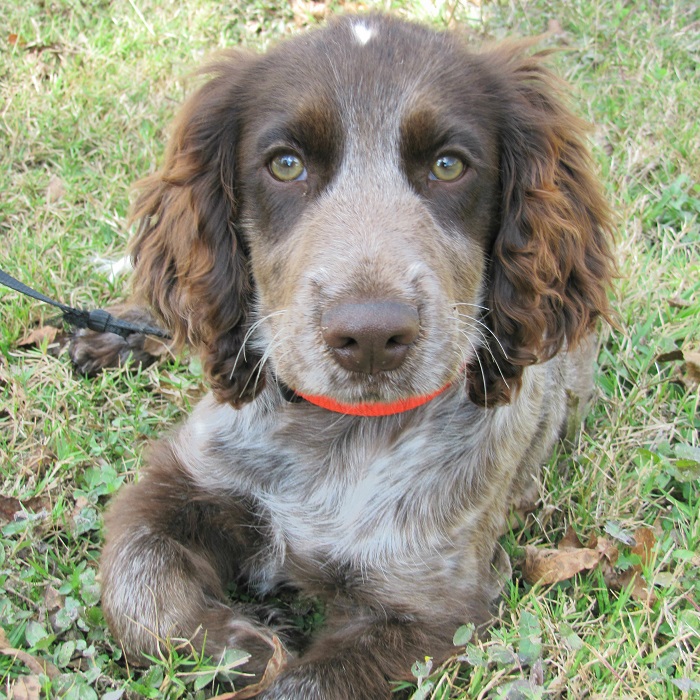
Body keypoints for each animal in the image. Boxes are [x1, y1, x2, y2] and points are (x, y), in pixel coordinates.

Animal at [74, 13, 616, 696]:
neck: (340, 432)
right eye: (285, 164)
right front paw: (239, 645)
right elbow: (136, 582)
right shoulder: (183, 481)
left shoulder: (424, 605)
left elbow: (299, 684)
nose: (372, 337)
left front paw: (251, 655)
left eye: (448, 165)